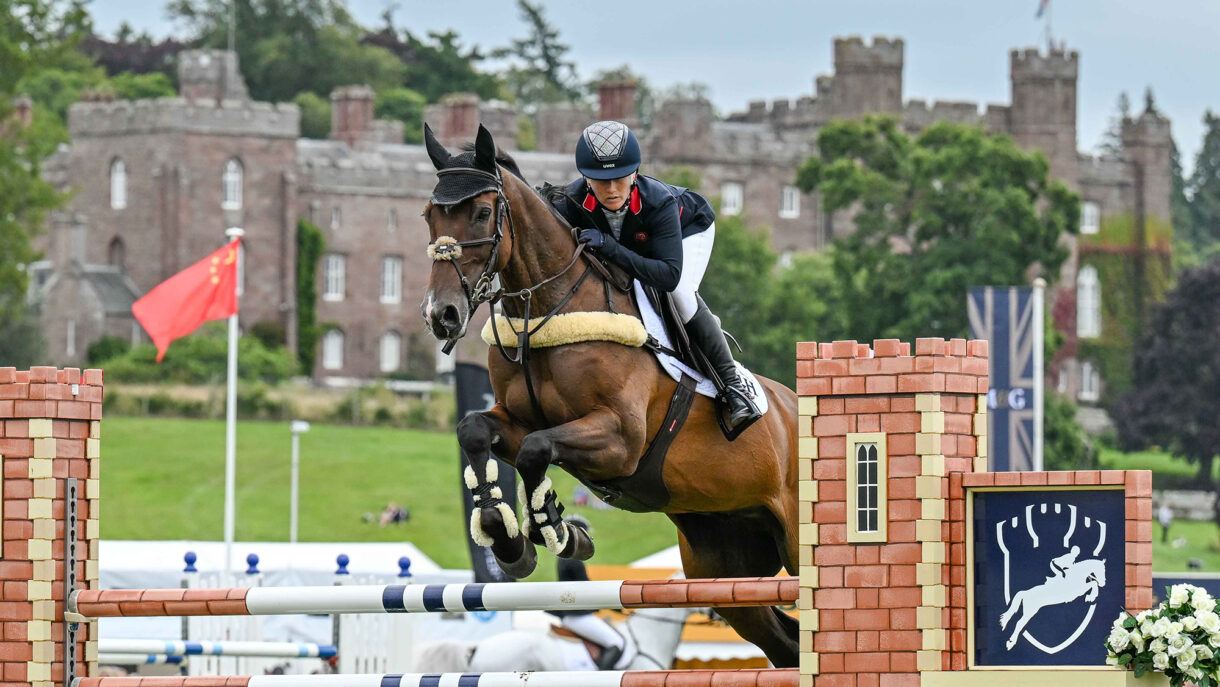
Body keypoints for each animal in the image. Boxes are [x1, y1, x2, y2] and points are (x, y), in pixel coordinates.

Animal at [419, 123, 801, 667]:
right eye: (429, 216)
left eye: (482, 212)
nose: (443, 315)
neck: (547, 307)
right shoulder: (514, 420)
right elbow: (476, 430)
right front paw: (511, 539)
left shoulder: (621, 439)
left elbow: (537, 450)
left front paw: (557, 530)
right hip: (723, 561)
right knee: (785, 642)